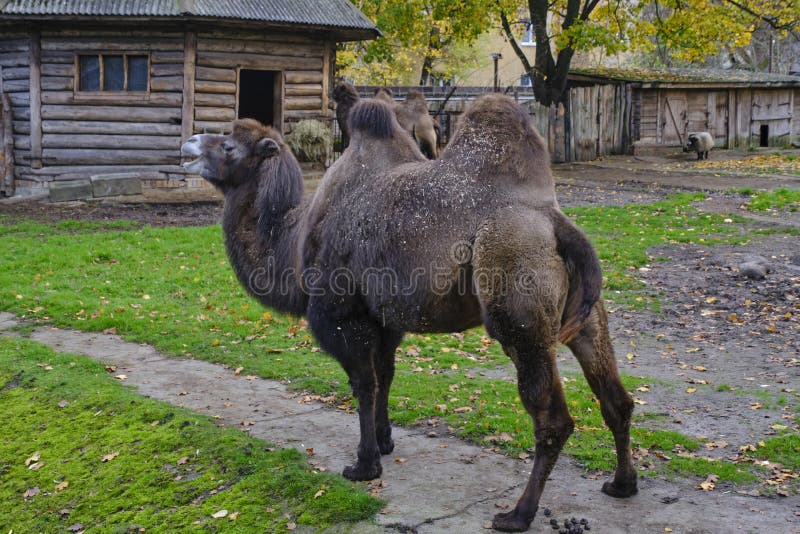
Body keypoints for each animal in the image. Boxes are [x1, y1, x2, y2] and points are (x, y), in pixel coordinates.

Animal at [180, 94, 637, 532]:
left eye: (229, 146)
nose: (188, 143)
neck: (291, 243)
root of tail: (557, 223)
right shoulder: (384, 318)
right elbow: (386, 375)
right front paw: (385, 442)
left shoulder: (340, 314)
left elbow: (363, 384)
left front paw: (364, 464)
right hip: (583, 314)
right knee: (615, 397)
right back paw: (621, 484)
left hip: (518, 303)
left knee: (553, 417)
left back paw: (518, 515)